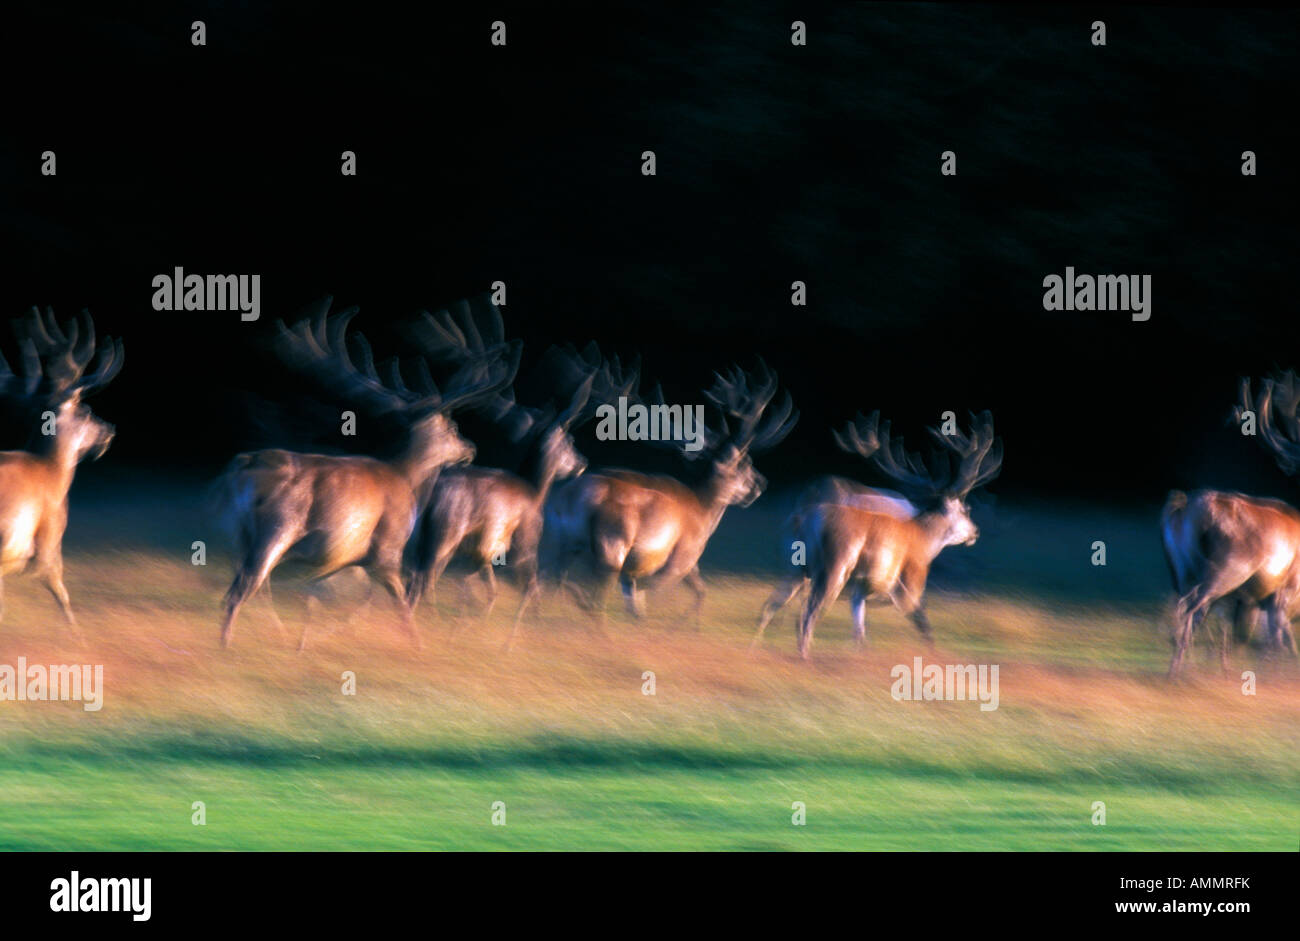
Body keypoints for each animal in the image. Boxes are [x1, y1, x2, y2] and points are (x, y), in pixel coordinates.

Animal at [0, 308, 122, 634]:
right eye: (86, 410)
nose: (109, 431)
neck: (52, 471)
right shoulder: (48, 538)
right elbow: (62, 595)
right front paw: (77, 636)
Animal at [214, 297, 519, 651]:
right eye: (453, 428)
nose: (471, 447)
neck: (407, 480)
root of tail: (243, 465)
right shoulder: (388, 548)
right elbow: (402, 603)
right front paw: (418, 647)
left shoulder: (338, 559)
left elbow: (321, 601)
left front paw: (308, 642)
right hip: (276, 527)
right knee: (241, 590)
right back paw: (226, 646)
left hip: (236, 535)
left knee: (251, 588)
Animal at [541, 360, 797, 626]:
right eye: (744, 464)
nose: (760, 485)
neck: (703, 512)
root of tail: (569, 498)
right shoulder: (684, 556)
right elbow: (672, 594)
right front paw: (679, 624)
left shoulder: (662, 568)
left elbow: (689, 593)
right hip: (613, 543)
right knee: (592, 596)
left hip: (563, 541)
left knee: (551, 576)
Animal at [775, 410, 1002, 659]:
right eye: (966, 510)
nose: (975, 531)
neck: (924, 537)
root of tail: (804, 519)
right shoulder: (912, 579)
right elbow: (924, 625)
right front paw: (933, 654)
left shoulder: (861, 589)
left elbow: (860, 630)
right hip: (835, 564)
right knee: (808, 615)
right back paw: (805, 657)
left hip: (798, 568)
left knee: (780, 606)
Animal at [1160, 371, 1300, 677]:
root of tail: (1185, 506)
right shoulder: (1286, 590)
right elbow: (1281, 641)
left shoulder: (1253, 600)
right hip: (1230, 566)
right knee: (1191, 608)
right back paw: (1176, 671)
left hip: (1183, 568)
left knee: (1185, 607)